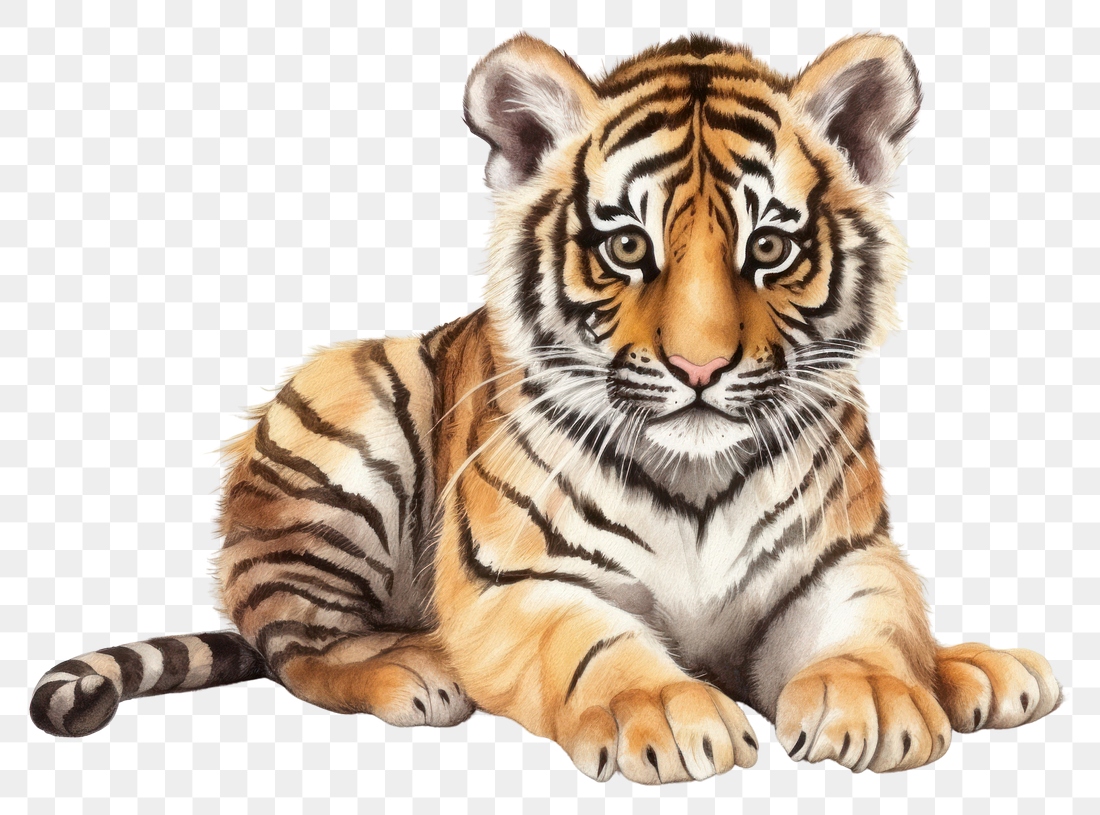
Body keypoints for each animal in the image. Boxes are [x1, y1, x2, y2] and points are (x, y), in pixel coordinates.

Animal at [30, 33, 1061, 783]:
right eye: (626, 245)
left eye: (768, 247)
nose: (698, 366)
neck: (698, 471)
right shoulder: (517, 579)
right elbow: (591, 642)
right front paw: (666, 712)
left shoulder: (843, 559)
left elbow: (870, 627)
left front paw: (878, 701)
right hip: (346, 421)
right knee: (295, 641)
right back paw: (415, 666)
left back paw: (977, 668)